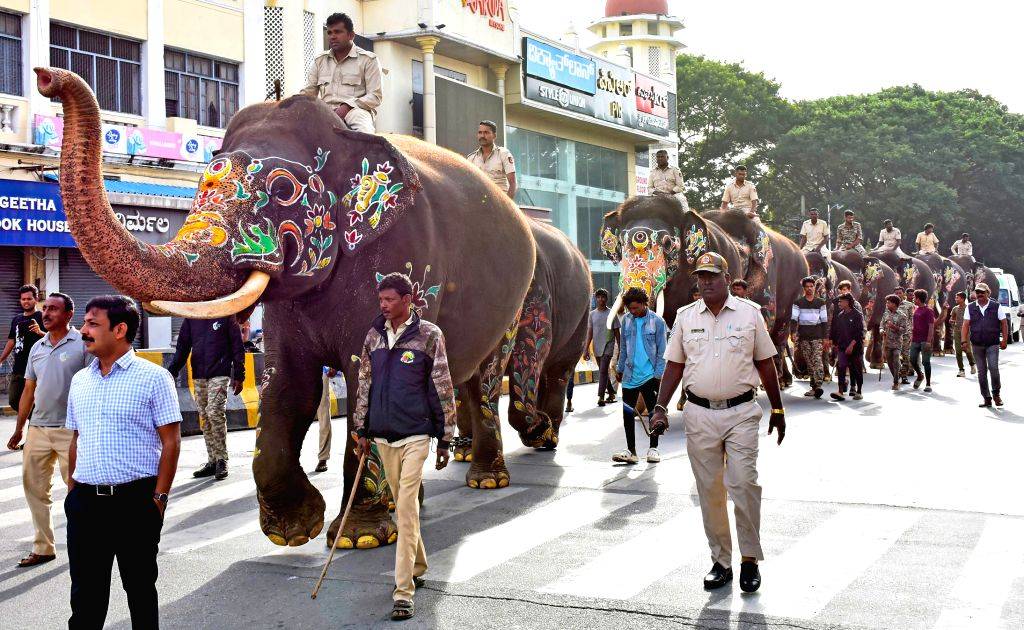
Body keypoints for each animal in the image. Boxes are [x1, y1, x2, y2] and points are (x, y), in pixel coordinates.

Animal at [37, 67, 538, 549]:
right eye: (200, 185)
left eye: (282, 189)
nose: (47, 78)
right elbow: (287, 386)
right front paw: (294, 531)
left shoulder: (405, 257)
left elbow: (369, 380)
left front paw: (359, 537)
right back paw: (418, 502)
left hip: (515, 301)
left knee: (485, 381)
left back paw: (486, 481)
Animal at [452, 220, 591, 466]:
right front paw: (465, 453)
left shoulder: (536, 292)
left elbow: (531, 351)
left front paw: (539, 430)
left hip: (581, 317)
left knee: (558, 372)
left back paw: (550, 436)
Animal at [600, 199, 807, 388]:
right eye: (620, 244)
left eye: (668, 244)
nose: (618, 374)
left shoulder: (765, 270)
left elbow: (765, 317)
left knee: (779, 328)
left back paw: (780, 382)